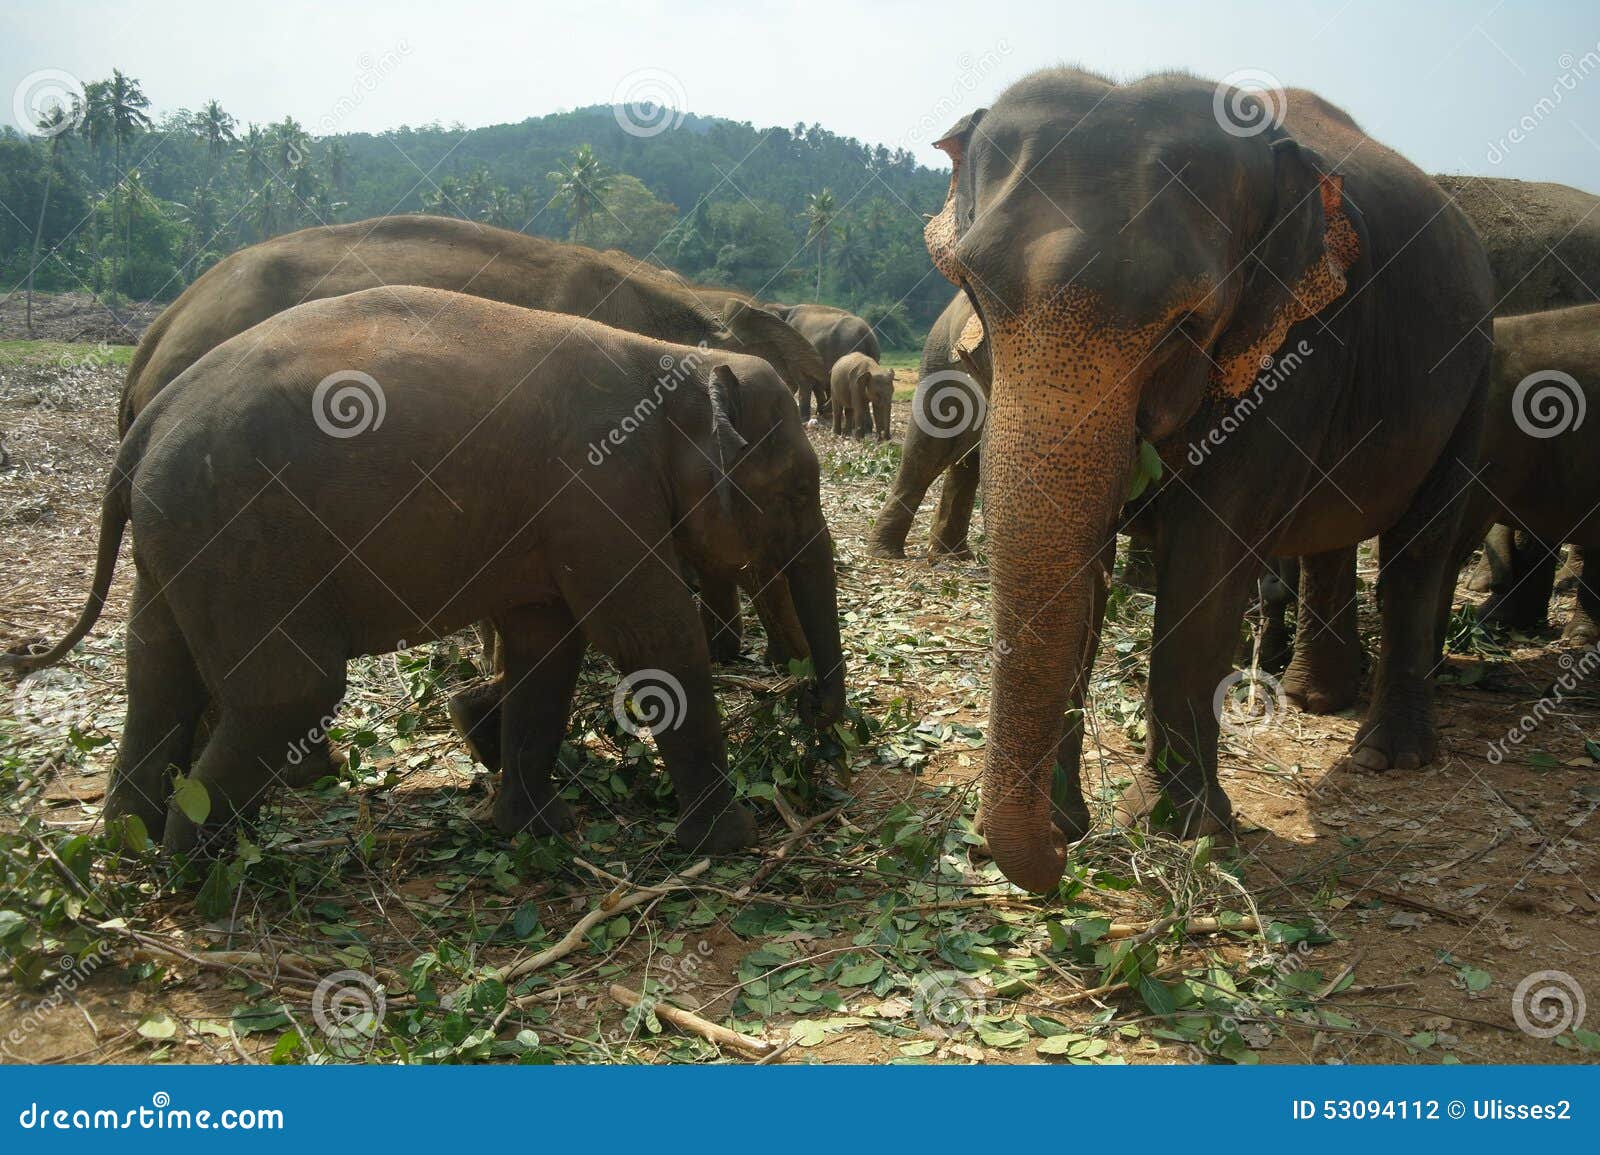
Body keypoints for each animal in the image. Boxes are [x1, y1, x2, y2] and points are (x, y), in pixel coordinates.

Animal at [3, 288, 846, 854]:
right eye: (794, 490)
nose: (822, 728)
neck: (675, 363)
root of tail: (139, 432)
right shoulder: (599, 486)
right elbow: (652, 634)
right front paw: (734, 840)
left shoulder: (559, 515)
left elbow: (548, 643)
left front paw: (534, 828)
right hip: (239, 544)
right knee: (291, 690)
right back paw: (206, 863)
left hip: (175, 544)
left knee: (157, 674)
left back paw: (131, 846)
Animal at [926, 69, 1494, 891]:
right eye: (972, 289)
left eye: (1186, 324)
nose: (1059, 861)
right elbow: (1088, 563)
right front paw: (1070, 822)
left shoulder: (1296, 348)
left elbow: (1210, 558)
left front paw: (1178, 828)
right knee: (1331, 541)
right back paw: (1316, 700)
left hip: (1479, 374)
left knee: (1419, 548)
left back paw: (1388, 756)